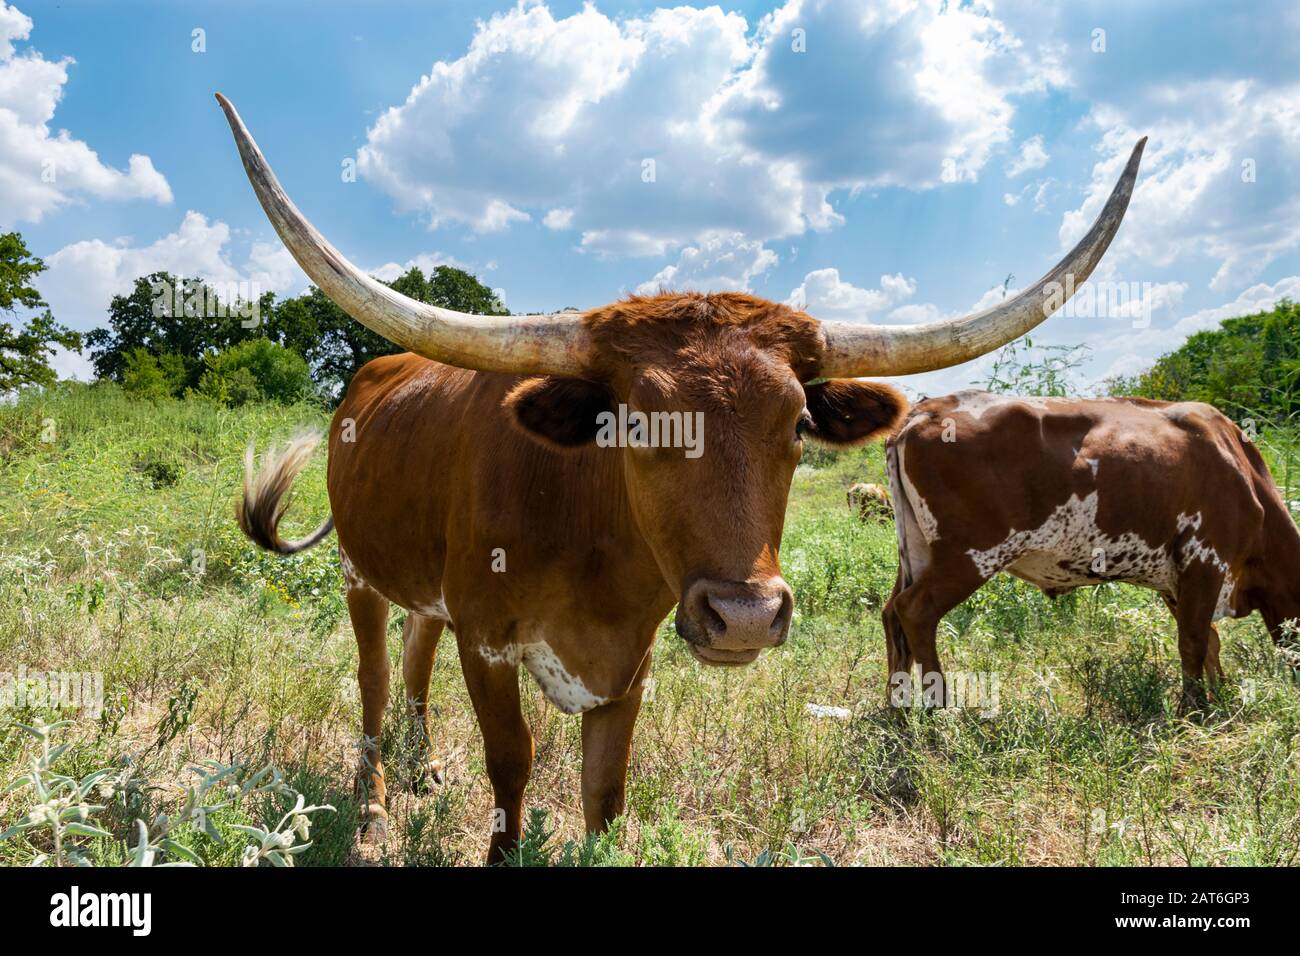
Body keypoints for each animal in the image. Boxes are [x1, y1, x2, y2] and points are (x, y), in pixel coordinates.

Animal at [216, 93, 1144, 860]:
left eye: (797, 423)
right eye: (636, 421)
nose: (745, 616)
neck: (584, 533)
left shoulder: (627, 665)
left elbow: (605, 794)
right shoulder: (489, 640)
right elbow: (512, 765)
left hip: (424, 583)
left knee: (415, 651)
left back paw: (422, 771)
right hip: (359, 574)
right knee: (375, 679)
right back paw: (375, 808)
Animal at [882, 390, 1300, 714]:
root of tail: (925, 409)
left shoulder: (1176, 577)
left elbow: (1209, 641)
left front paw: (1221, 696)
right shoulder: (1205, 560)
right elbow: (1194, 641)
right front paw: (1193, 710)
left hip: (917, 551)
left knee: (892, 615)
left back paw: (898, 709)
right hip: (970, 556)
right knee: (915, 610)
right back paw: (938, 708)